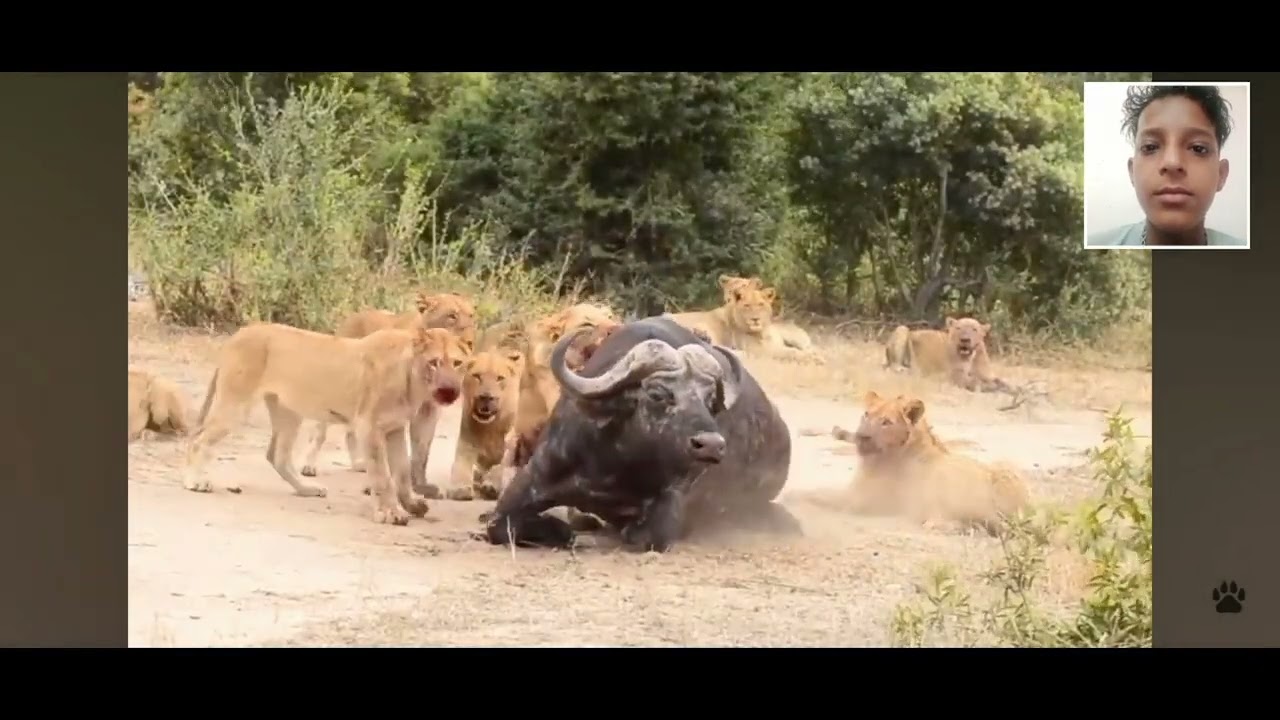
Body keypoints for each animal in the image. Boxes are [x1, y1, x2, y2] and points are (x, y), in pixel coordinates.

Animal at [181, 323, 469, 526]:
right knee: (199, 439)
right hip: (236, 403)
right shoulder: (369, 426)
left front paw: (412, 505)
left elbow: (401, 472)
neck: (413, 379)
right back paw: (196, 481)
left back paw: (307, 489)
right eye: (434, 363)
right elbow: (382, 475)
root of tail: (239, 333)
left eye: (458, 363)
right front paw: (390, 513)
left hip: (288, 412)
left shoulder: (395, 428)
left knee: (277, 455)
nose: (450, 391)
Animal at [301, 290, 477, 479]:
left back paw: (359, 464)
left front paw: (419, 481)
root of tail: (354, 316)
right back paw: (309, 466)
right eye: (452, 316)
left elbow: (422, 450)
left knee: (350, 432)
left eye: (471, 316)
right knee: (320, 430)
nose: (470, 343)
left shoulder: (430, 409)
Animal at [446, 348, 526, 502]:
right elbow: (461, 467)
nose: (486, 397)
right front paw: (460, 488)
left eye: (500, 378)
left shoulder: (509, 451)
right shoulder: (465, 446)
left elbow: (499, 467)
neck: (490, 428)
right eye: (477, 376)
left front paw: (491, 486)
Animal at [478, 316, 799, 553]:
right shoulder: (537, 474)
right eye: (657, 394)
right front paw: (562, 530)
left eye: (710, 400)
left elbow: (641, 536)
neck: (615, 464)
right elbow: (499, 525)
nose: (711, 446)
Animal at [883, 316, 1012, 393]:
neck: (971, 358)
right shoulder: (956, 376)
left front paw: (1012, 389)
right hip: (902, 328)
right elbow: (975, 382)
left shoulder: (989, 375)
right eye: (958, 328)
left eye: (974, 329)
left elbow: (1003, 382)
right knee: (893, 367)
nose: (965, 339)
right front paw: (991, 386)